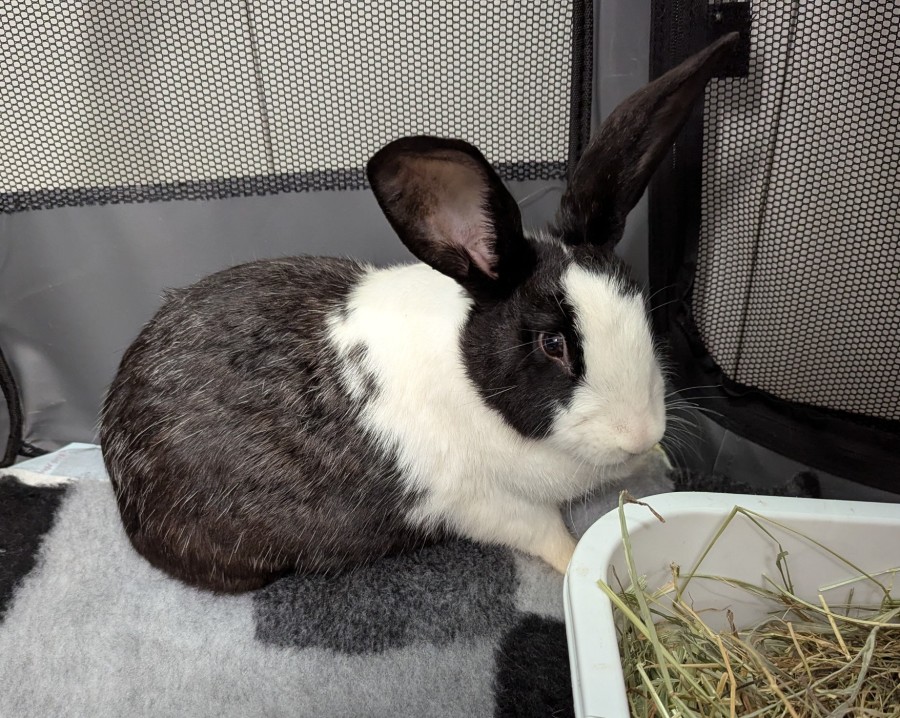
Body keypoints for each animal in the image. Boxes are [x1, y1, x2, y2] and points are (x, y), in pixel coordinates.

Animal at [100, 33, 739, 592]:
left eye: (641, 312)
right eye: (552, 345)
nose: (642, 432)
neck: (473, 380)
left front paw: (655, 462)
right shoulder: (482, 504)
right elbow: (545, 533)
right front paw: (579, 558)